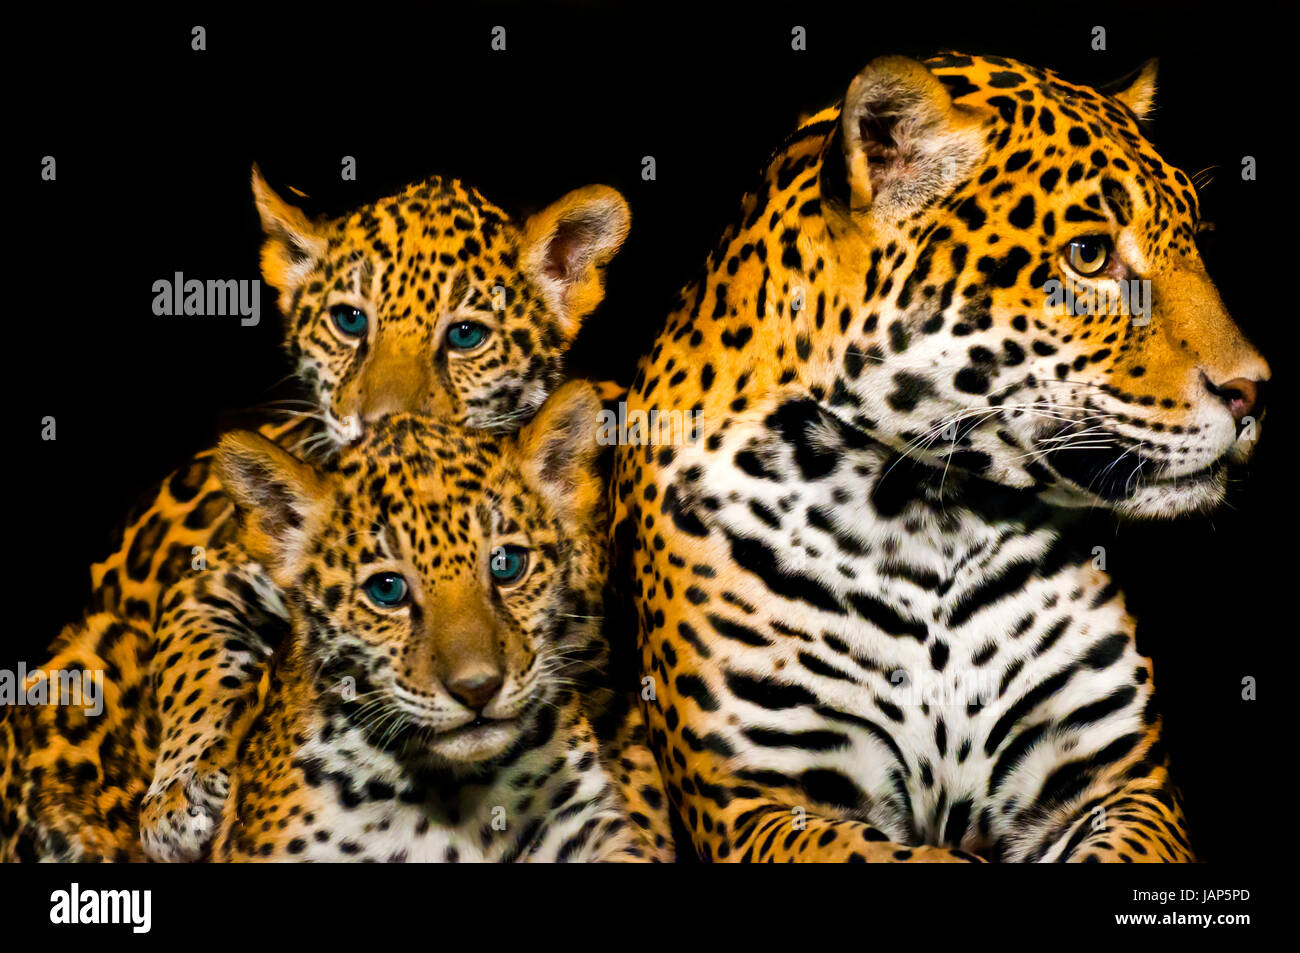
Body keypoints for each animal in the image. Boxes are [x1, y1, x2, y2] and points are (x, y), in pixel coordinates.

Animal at [609, 53, 1268, 862]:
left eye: (1197, 240)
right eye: (1088, 256)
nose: (1254, 391)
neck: (928, 517)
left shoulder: (1120, 783)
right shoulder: (762, 803)